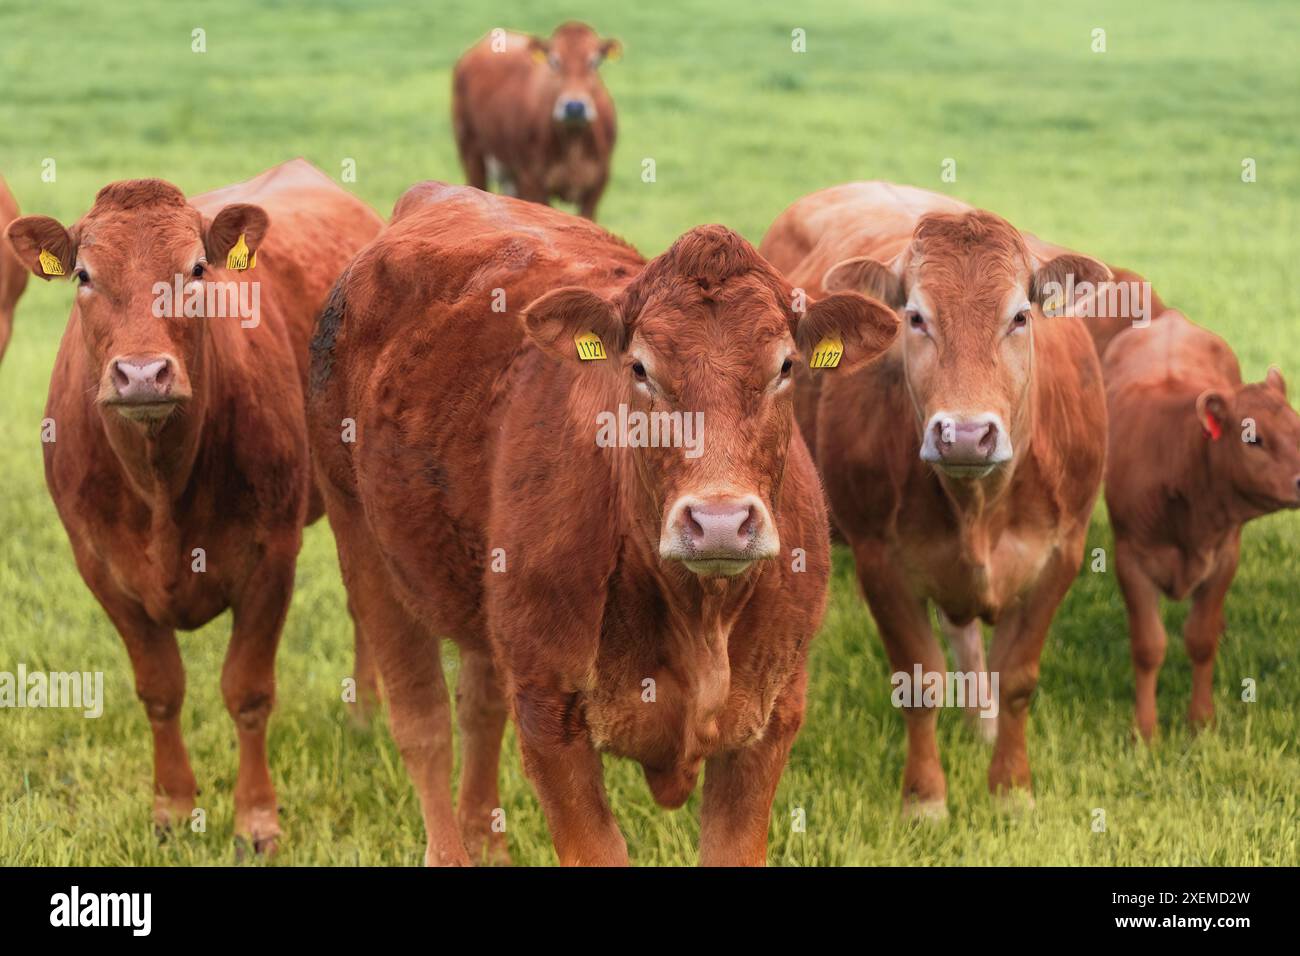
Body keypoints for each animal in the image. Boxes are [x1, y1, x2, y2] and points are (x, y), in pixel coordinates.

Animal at [4, 159, 383, 852]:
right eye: (83, 275)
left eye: (198, 269)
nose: (142, 374)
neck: (160, 484)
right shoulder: (100, 567)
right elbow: (160, 689)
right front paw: (173, 809)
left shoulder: (271, 558)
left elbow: (248, 692)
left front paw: (257, 819)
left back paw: (367, 714)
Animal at [307, 182, 898, 865]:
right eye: (639, 368)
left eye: (786, 367)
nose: (720, 522)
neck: (700, 618)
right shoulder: (549, 714)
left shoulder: (774, 715)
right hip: (360, 534)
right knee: (422, 725)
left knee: (478, 707)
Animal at [452, 21, 620, 219]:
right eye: (554, 61)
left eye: (594, 61)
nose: (574, 107)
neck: (574, 144)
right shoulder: (533, 181)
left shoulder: (597, 185)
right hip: (471, 151)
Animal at [761, 181, 1109, 817]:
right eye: (916, 317)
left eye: (1020, 316)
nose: (966, 434)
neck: (980, 505)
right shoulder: (881, 563)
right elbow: (919, 682)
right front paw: (925, 800)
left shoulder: (1062, 555)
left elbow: (1017, 677)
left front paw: (1011, 790)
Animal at [1101, 313, 1300, 739]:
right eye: (1253, 439)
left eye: (1297, 427)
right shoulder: (1130, 559)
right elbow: (1149, 646)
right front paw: (1146, 729)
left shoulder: (1225, 556)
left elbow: (1200, 639)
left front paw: (1201, 720)